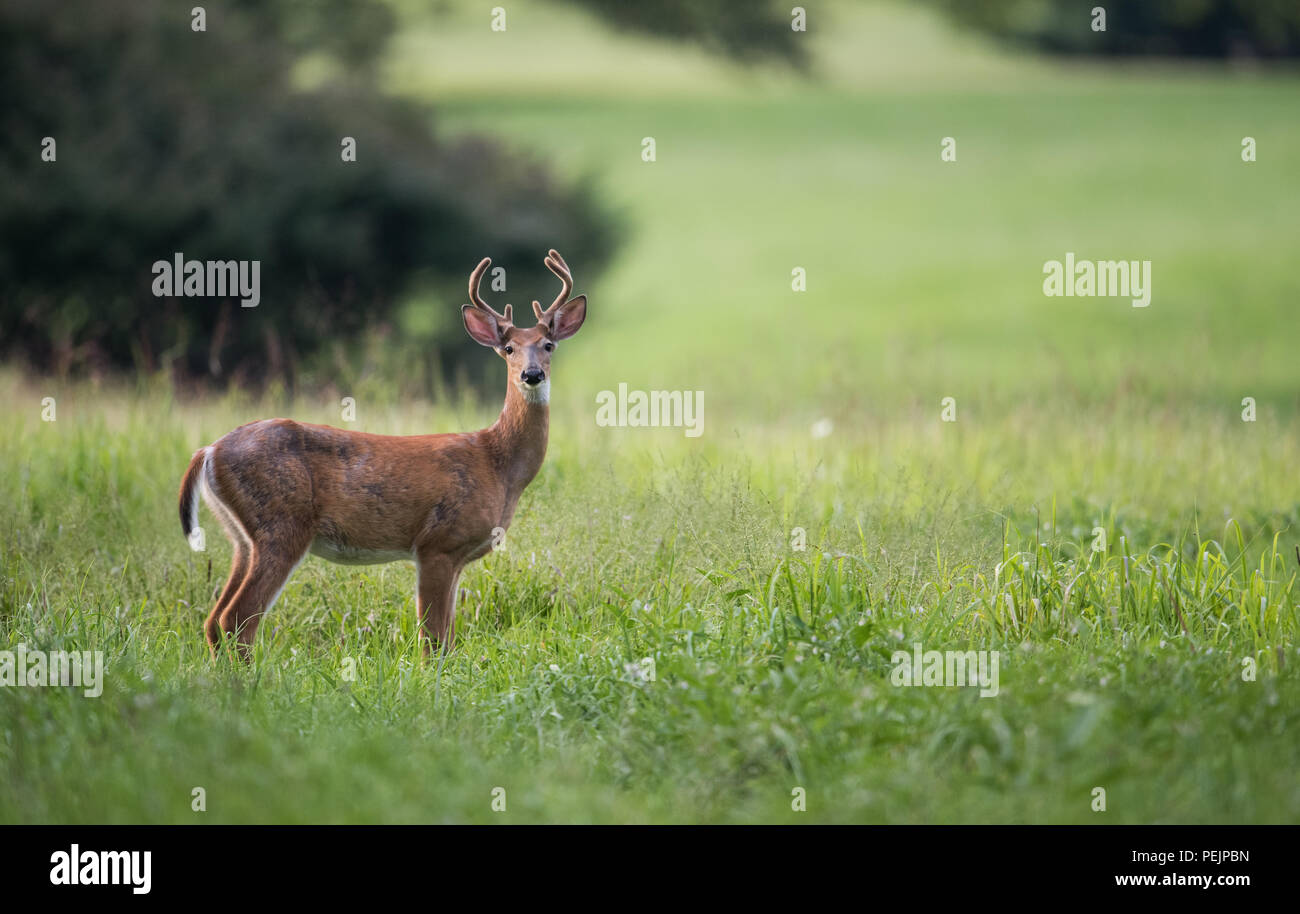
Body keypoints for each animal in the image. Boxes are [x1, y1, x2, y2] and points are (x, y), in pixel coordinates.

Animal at [177, 249, 587, 660]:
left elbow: (449, 638)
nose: (531, 374)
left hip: (243, 538)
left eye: (548, 345)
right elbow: (433, 639)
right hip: (281, 525)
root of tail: (209, 450)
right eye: (509, 349)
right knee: (237, 620)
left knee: (214, 621)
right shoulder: (437, 544)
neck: (498, 463)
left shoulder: (456, 557)